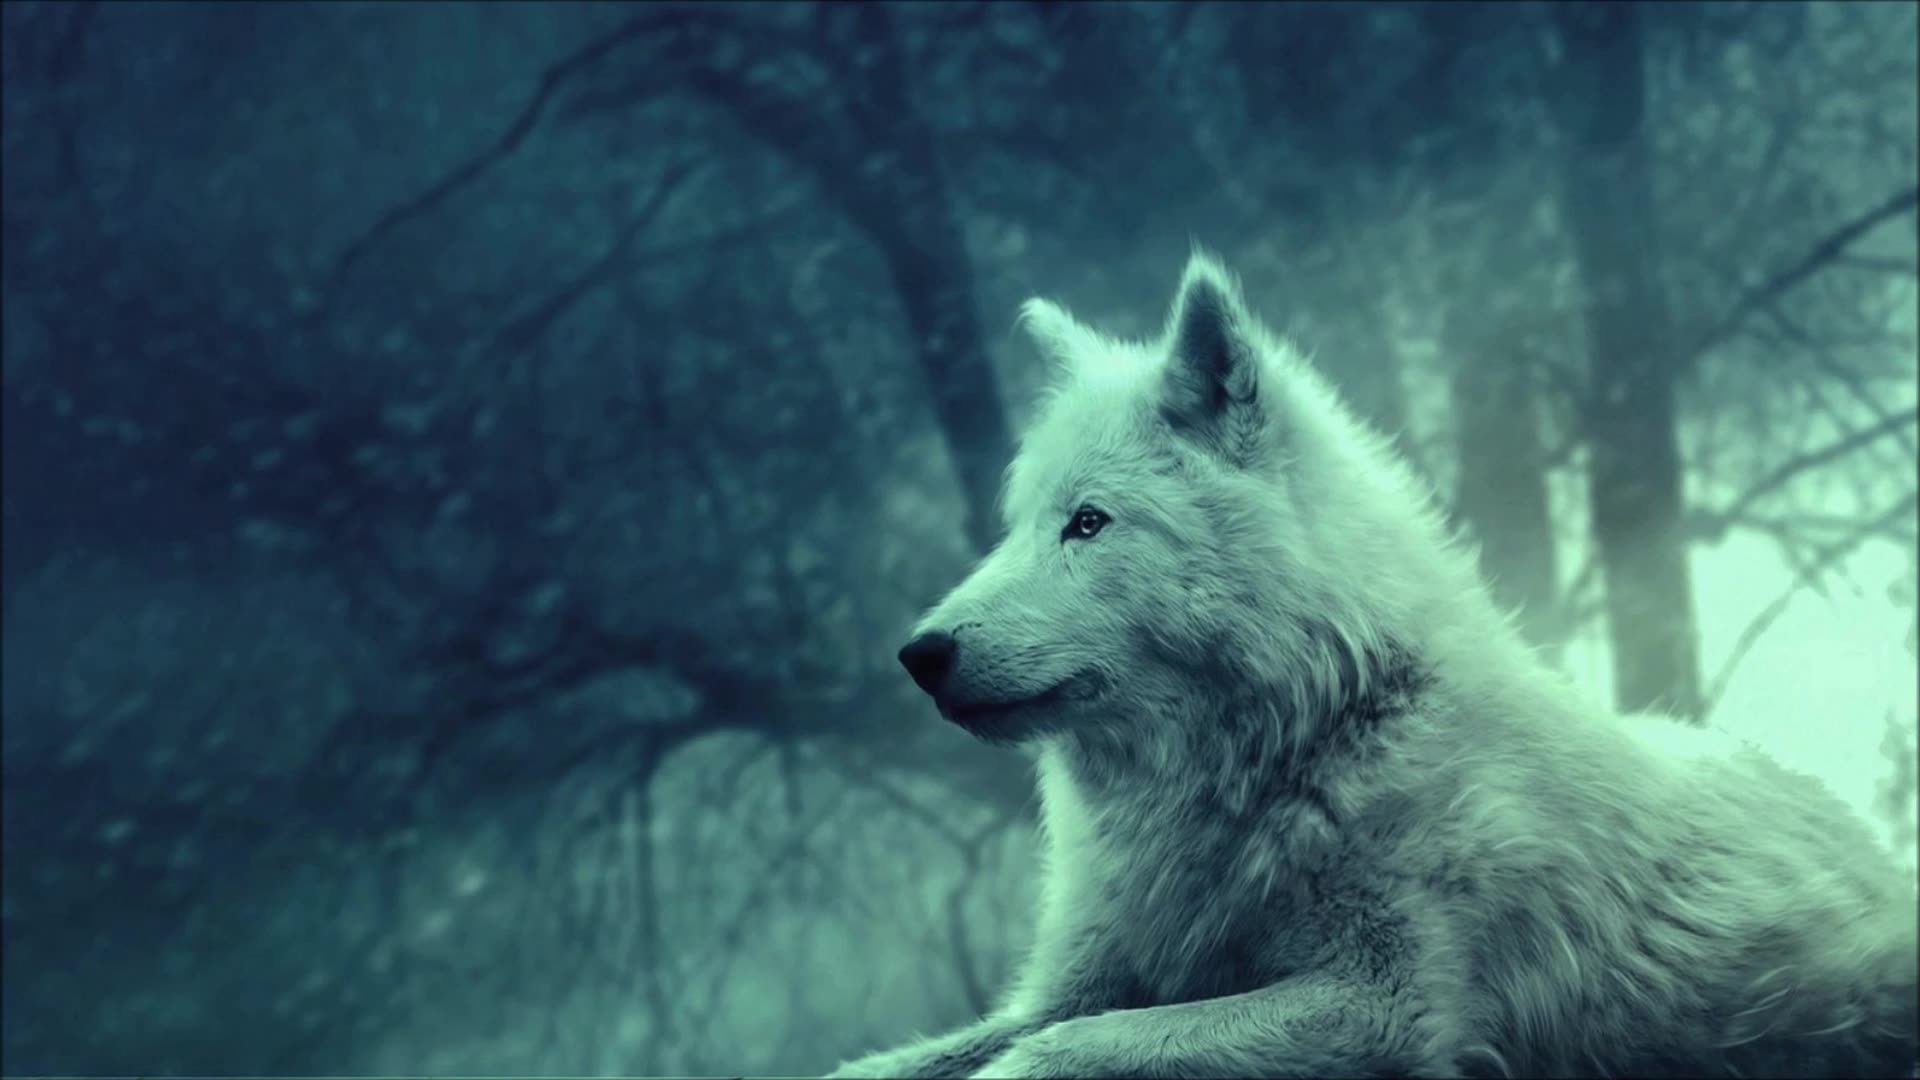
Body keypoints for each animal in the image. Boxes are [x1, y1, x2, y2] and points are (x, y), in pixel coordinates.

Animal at [827, 254, 1920, 1079]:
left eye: (1088, 523)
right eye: (1016, 526)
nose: (919, 654)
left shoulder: (1385, 1008)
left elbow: (1066, 1051)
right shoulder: (1074, 983)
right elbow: (902, 1060)